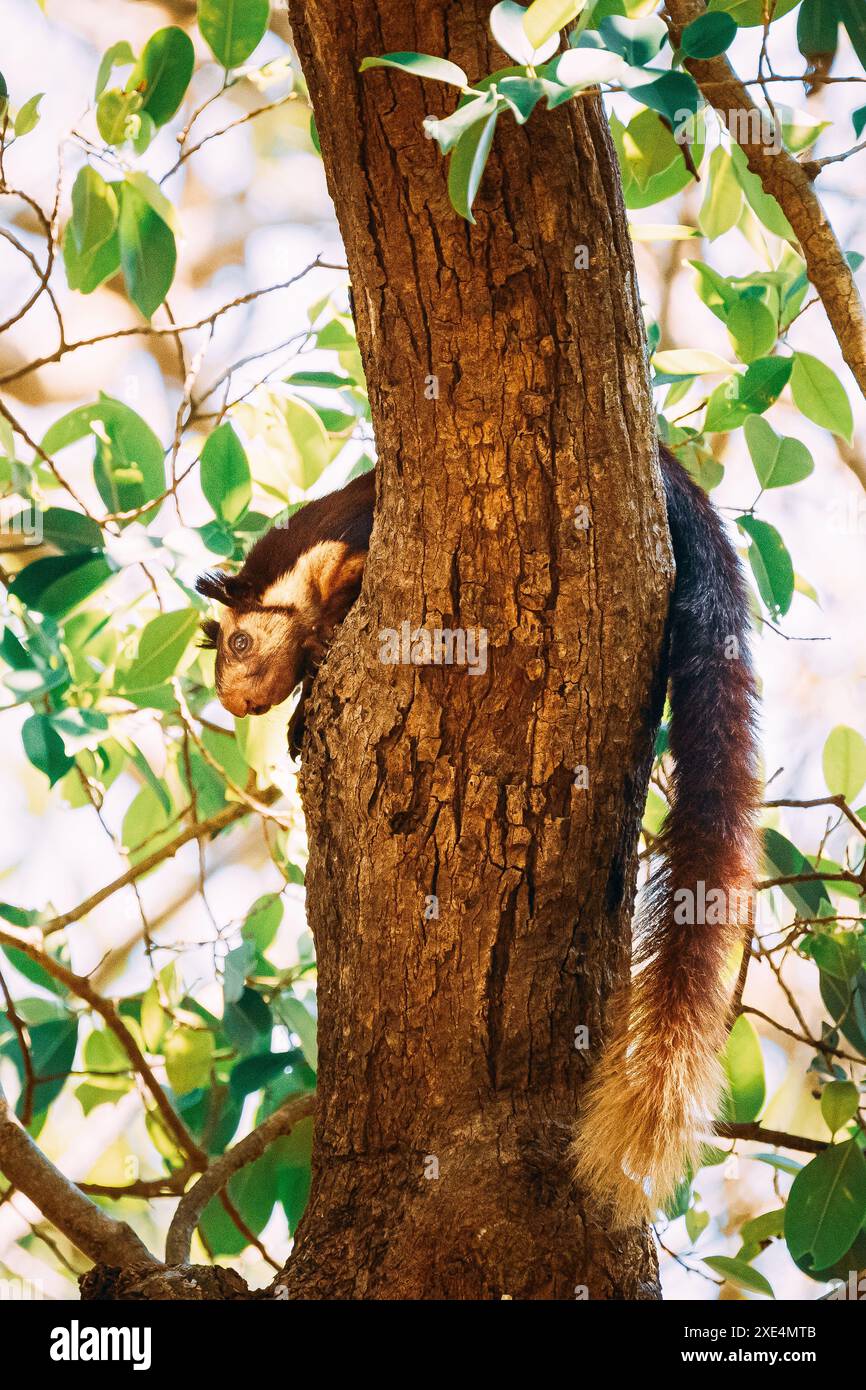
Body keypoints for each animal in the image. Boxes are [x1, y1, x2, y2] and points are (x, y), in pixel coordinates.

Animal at [197, 444, 759, 1225]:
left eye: (243, 639)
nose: (233, 699)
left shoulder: (351, 541)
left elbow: (344, 590)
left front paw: (315, 669)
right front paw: (301, 710)